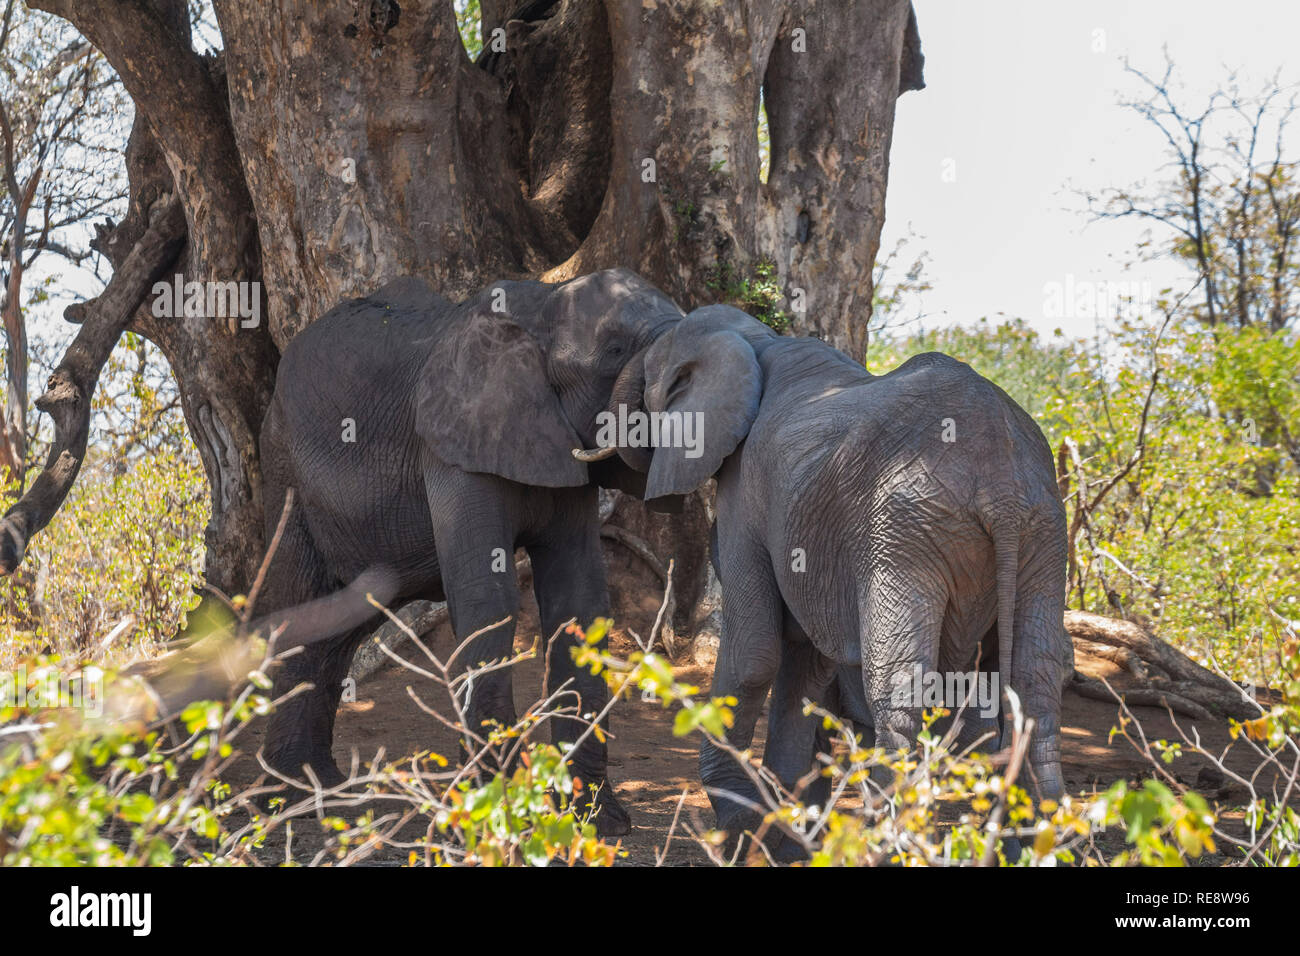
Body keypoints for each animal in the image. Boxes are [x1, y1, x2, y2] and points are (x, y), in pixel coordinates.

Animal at [252, 268, 685, 835]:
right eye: (615, 350)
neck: (542, 313)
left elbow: (581, 602)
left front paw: (599, 825)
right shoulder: (452, 447)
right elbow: (486, 597)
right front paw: (495, 823)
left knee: (338, 627)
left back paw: (319, 788)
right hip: (286, 475)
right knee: (303, 608)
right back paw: (286, 799)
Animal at [579, 304, 1072, 847]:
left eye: (649, 377)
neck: (757, 340)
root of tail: (1000, 489)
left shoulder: (746, 488)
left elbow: (754, 652)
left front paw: (737, 824)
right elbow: (806, 657)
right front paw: (785, 836)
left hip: (903, 530)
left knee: (900, 688)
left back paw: (889, 841)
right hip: (1043, 533)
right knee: (1036, 685)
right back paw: (1042, 842)